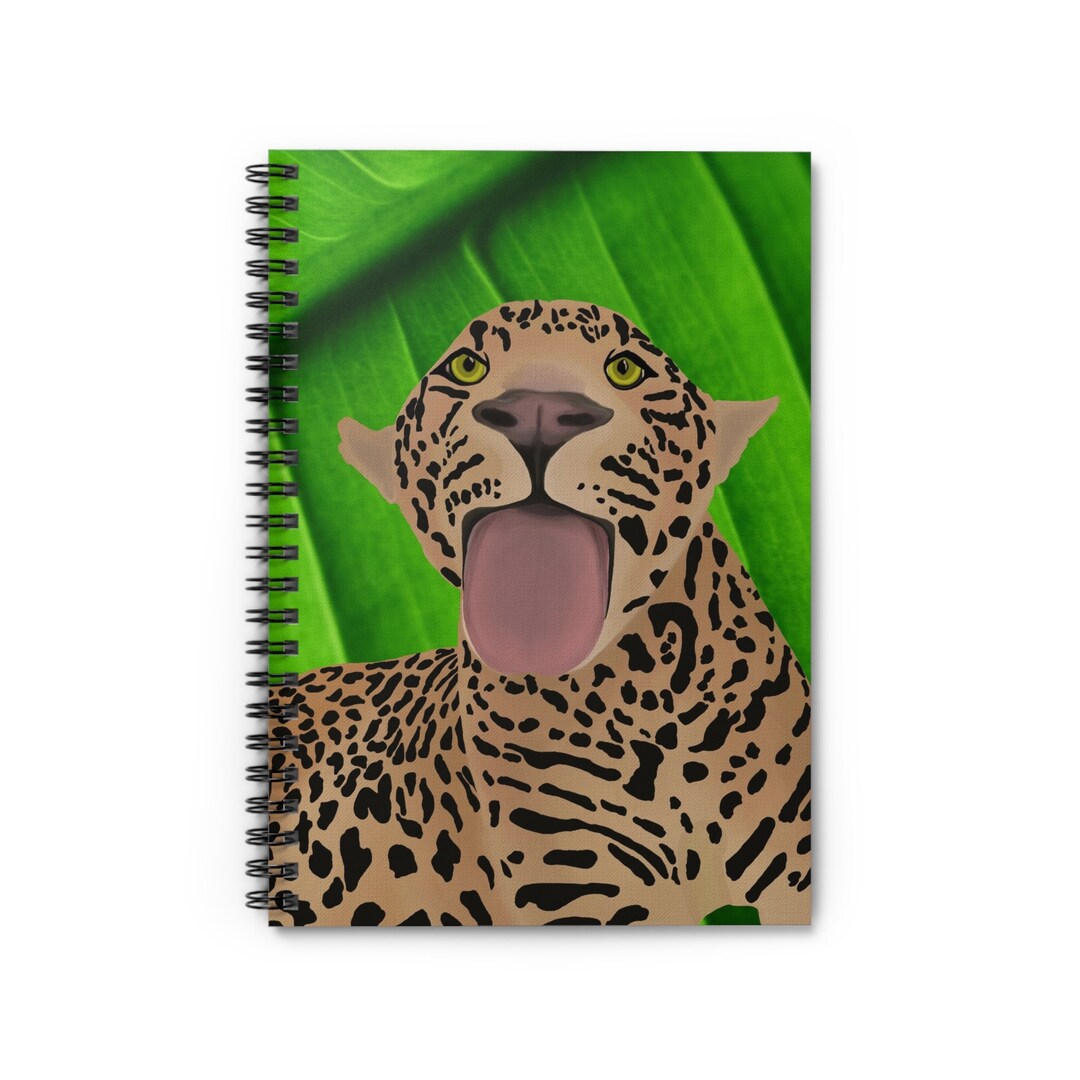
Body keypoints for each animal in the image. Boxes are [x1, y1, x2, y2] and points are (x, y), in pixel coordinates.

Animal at [266, 299, 811, 926]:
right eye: (468, 367)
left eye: (626, 368)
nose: (539, 413)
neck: (640, 697)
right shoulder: (578, 898)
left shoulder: (798, 865)